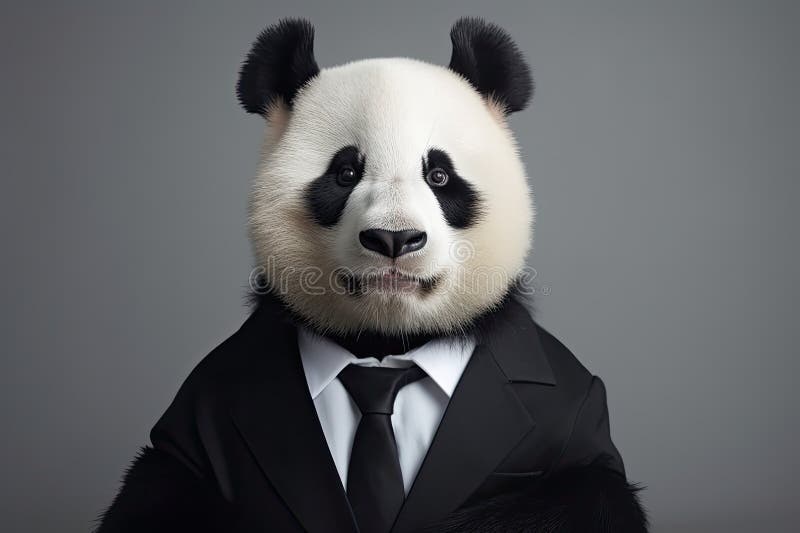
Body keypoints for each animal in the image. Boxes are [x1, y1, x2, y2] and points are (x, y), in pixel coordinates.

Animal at [96, 17, 647, 533]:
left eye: (439, 175)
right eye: (345, 173)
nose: (393, 239)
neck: (384, 343)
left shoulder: (576, 420)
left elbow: (586, 498)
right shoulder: (196, 419)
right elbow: (159, 494)